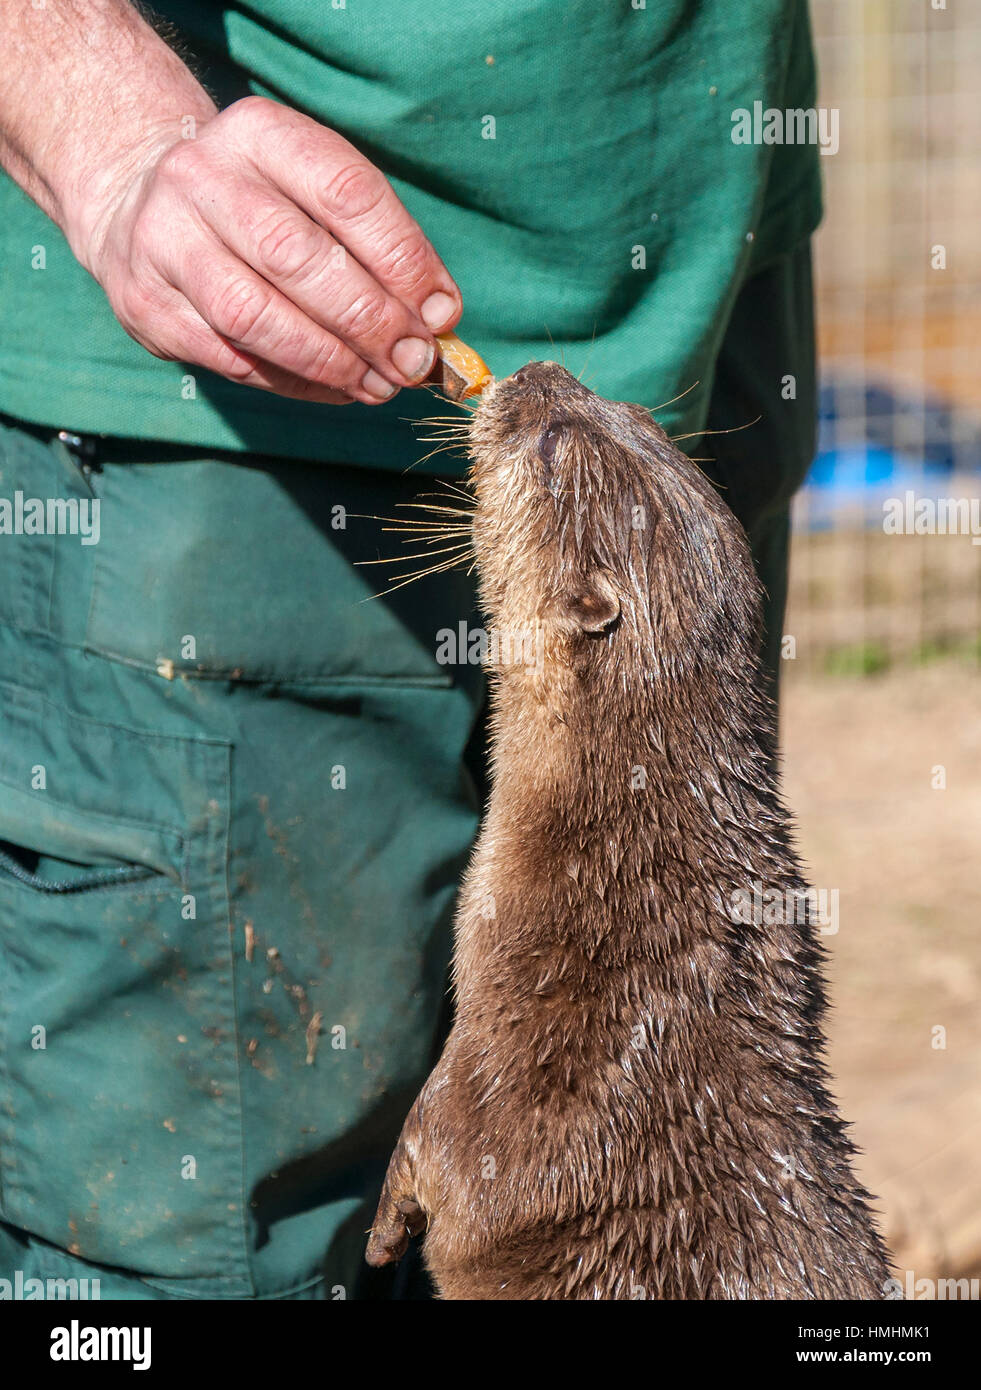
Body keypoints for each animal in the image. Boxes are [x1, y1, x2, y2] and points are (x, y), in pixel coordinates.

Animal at [365, 361, 893, 1299]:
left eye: (550, 443)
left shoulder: (506, 1064)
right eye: (634, 411)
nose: (536, 369)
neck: (615, 861)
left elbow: (443, 1153)